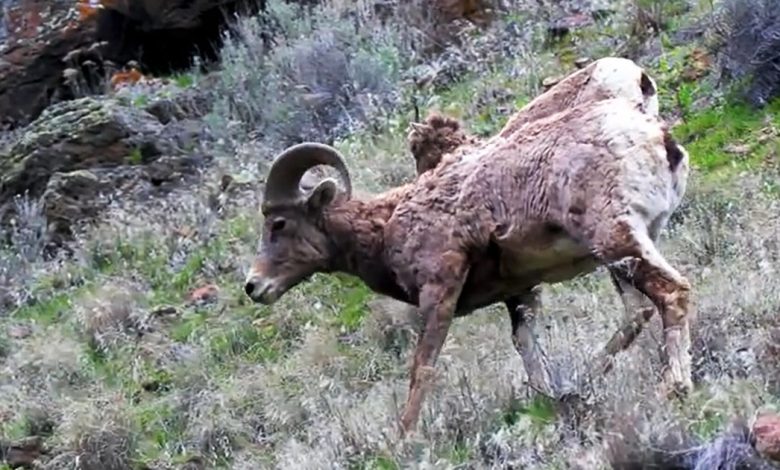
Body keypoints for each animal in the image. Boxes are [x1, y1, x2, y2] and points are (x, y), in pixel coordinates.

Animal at [243, 91, 693, 435]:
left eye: (279, 223)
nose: (253, 286)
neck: (388, 227)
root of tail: (656, 136)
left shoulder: (440, 291)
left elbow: (422, 368)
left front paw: (404, 441)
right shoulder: (519, 293)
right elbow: (528, 352)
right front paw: (556, 401)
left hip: (616, 242)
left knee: (672, 293)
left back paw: (674, 388)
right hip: (626, 248)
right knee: (639, 310)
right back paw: (586, 382)